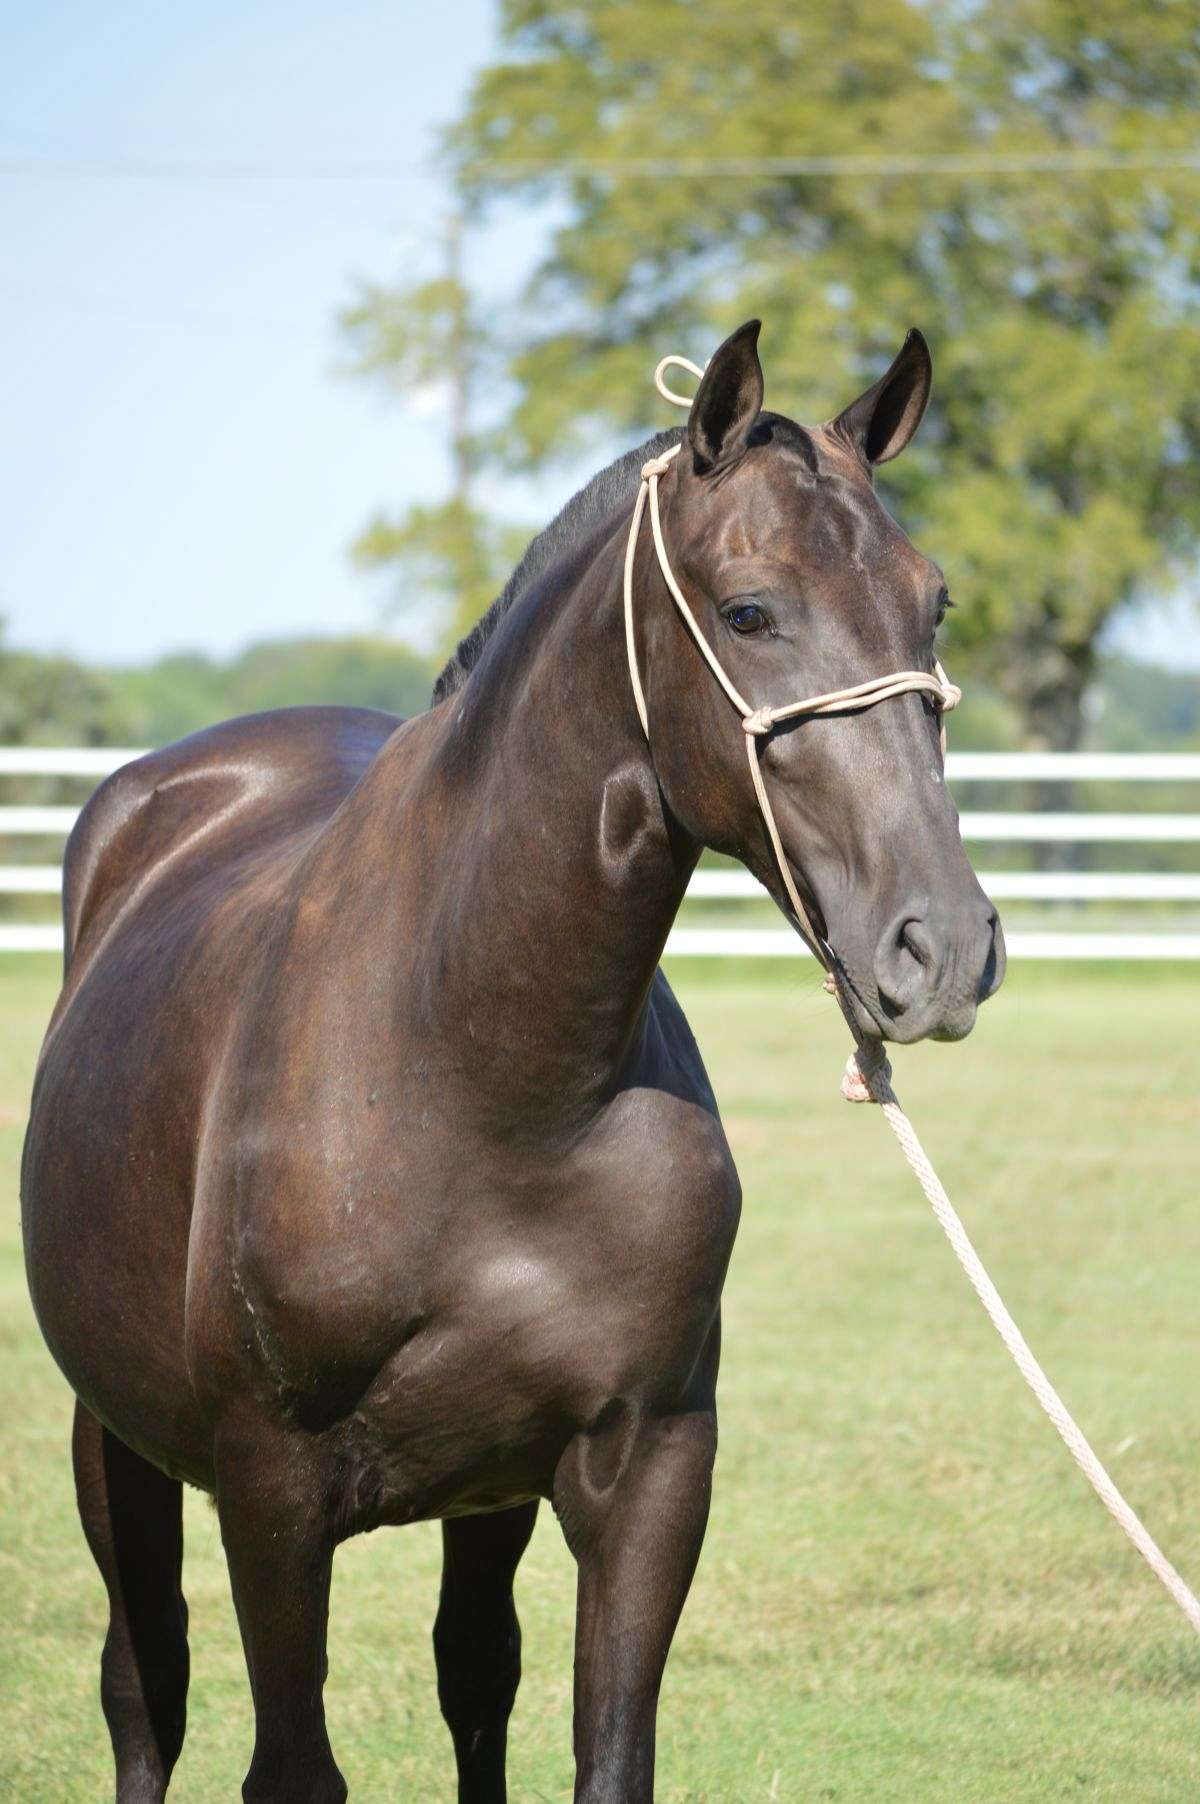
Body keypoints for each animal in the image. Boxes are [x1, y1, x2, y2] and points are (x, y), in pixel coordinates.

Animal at [22, 319, 1003, 1803]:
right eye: (749, 610)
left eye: (931, 601)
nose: (938, 945)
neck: (475, 1075)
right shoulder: (269, 1492)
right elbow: (284, 1762)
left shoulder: (646, 1468)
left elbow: (596, 1746)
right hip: (116, 1442)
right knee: (146, 1694)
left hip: (480, 1501)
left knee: (472, 1675)